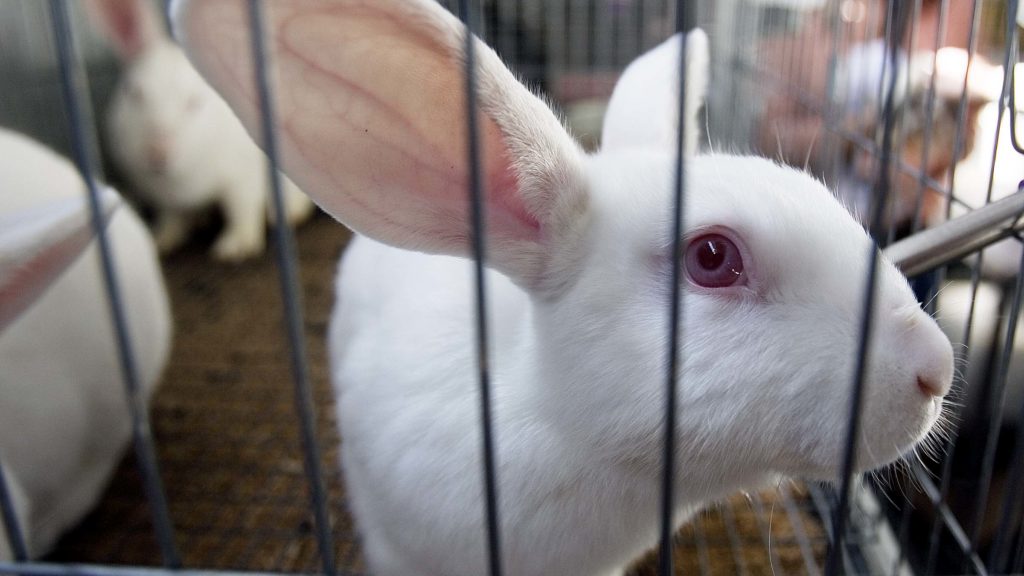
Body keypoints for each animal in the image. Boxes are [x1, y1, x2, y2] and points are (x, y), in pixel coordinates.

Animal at [86, 0, 314, 262]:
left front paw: (234, 248)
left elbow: (241, 211)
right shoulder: (166, 201)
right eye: (131, 92)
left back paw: (285, 214)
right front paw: (162, 241)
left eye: (195, 101)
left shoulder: (242, 179)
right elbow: (171, 219)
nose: (157, 151)